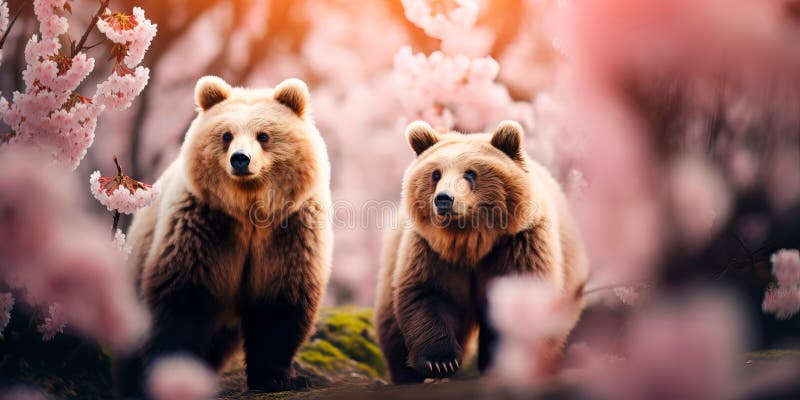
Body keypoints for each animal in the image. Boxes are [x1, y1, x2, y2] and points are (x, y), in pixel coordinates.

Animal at [116, 76, 332, 397]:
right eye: (227, 135)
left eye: (263, 135)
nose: (240, 159)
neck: (250, 210)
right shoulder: (203, 226)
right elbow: (183, 297)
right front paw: (177, 375)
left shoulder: (288, 232)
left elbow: (279, 306)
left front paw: (277, 377)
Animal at [375, 120, 588, 384]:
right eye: (436, 174)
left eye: (470, 173)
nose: (443, 199)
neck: (470, 242)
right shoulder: (431, 251)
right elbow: (427, 293)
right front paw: (440, 361)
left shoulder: (518, 243)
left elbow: (519, 302)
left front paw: (502, 363)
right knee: (391, 324)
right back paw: (405, 373)